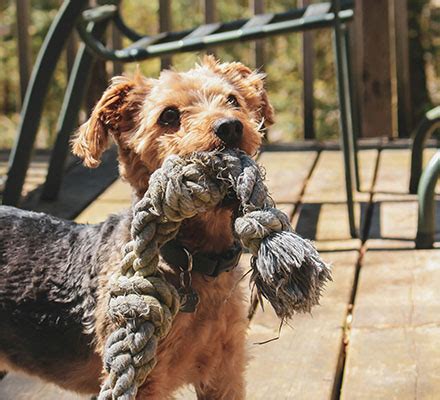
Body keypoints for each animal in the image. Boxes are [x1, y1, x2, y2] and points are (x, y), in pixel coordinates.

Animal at [0, 55, 274, 396]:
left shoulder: (225, 369)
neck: (192, 260)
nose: (230, 126)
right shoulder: (143, 377)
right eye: (169, 115)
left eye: (233, 100)